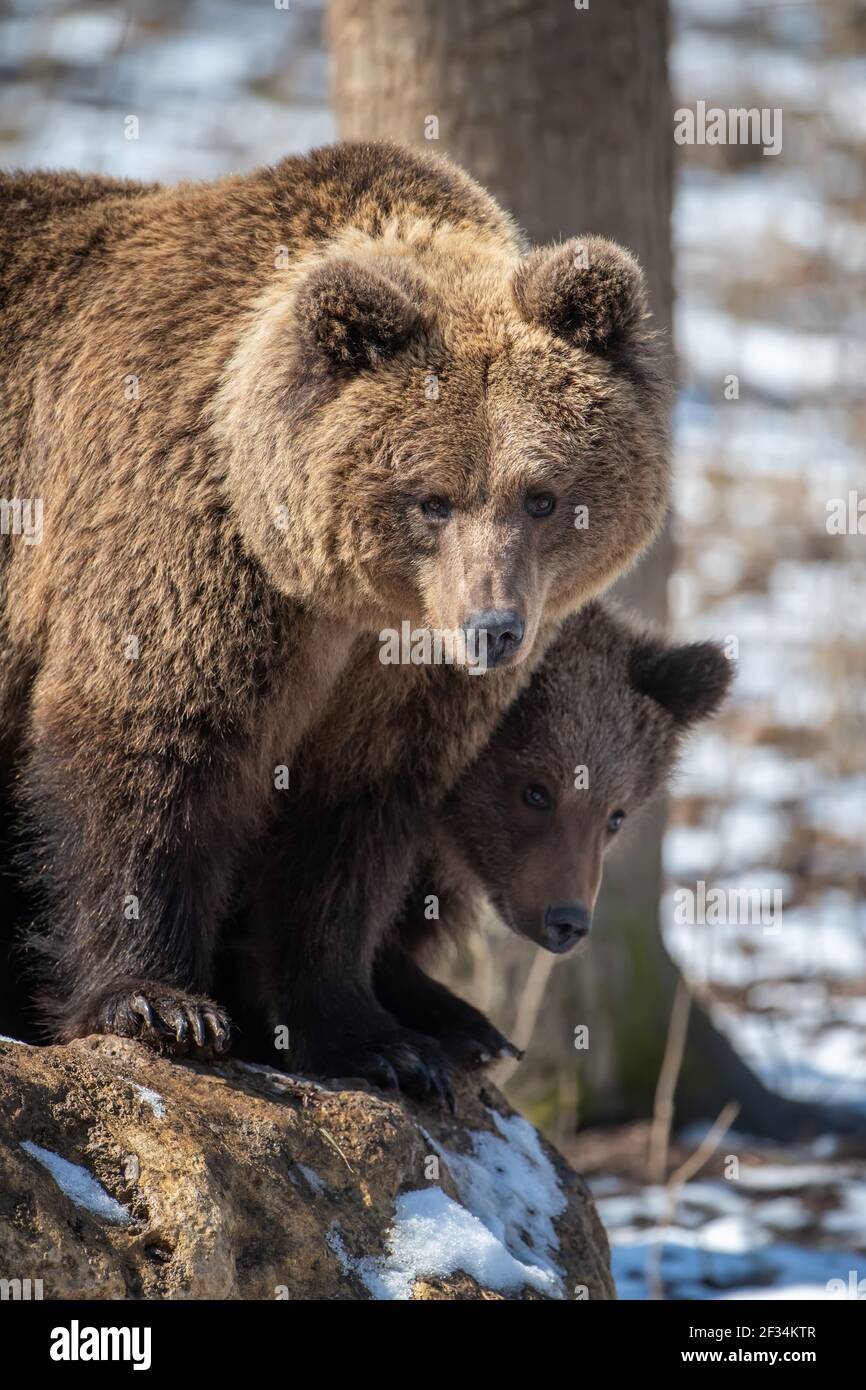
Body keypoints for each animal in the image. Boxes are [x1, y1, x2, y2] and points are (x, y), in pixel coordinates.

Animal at [0, 140, 668, 1068]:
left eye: (543, 497)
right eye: (432, 499)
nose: (492, 629)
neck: (349, 610)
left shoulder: (404, 692)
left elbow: (352, 829)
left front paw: (370, 1037)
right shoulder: (193, 561)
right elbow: (151, 747)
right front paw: (161, 1004)